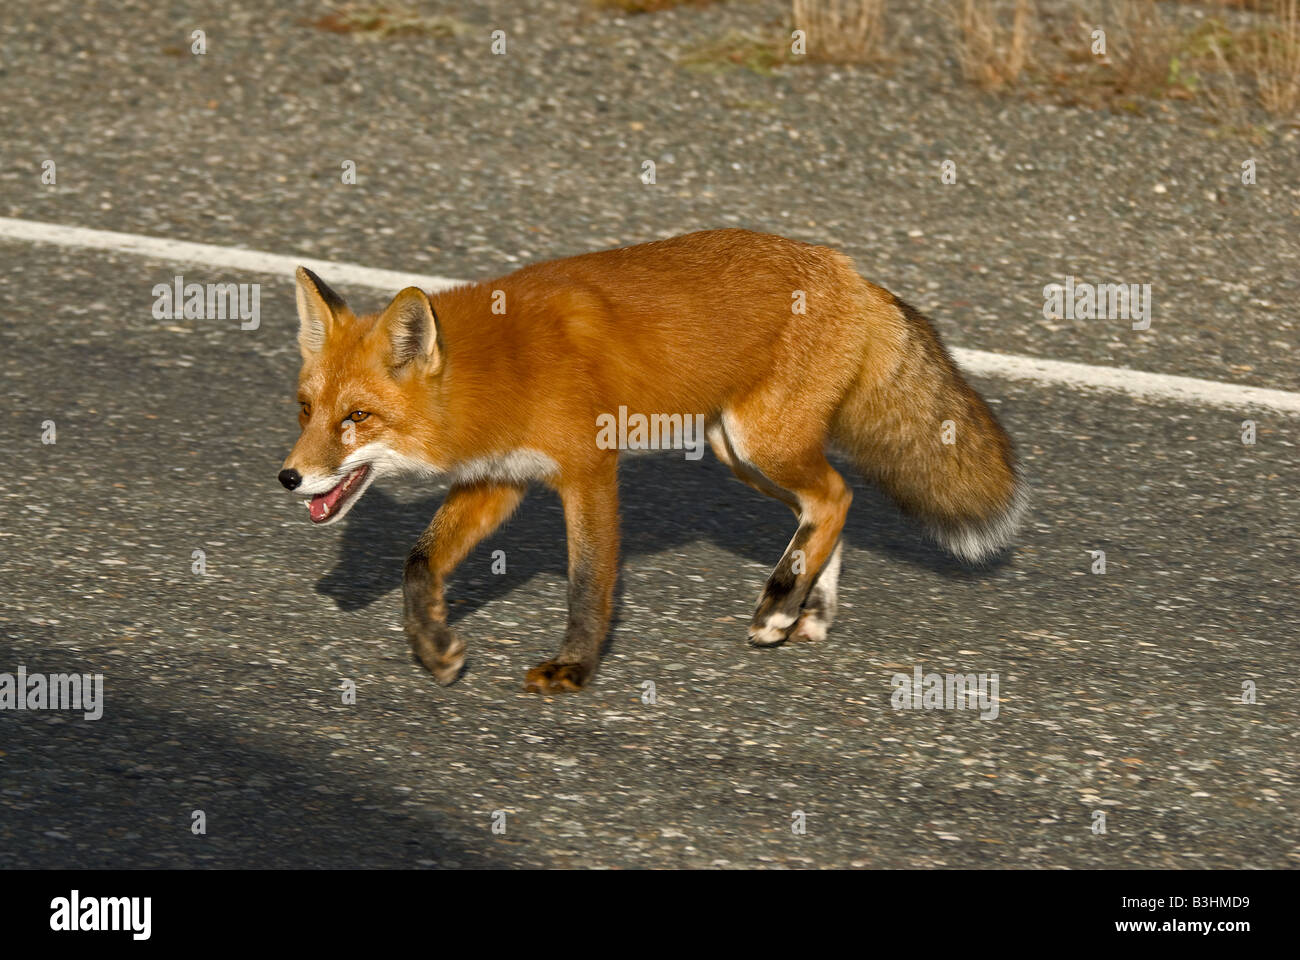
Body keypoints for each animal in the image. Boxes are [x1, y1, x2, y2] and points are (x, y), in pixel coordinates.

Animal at [278, 229, 1025, 694]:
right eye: (306, 410)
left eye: (357, 419)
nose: (288, 477)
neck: (503, 370)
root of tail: (850, 270)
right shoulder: (500, 480)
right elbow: (418, 563)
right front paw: (433, 648)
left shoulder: (588, 472)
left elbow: (588, 585)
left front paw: (573, 670)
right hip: (739, 452)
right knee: (830, 504)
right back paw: (803, 607)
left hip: (762, 442)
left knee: (836, 497)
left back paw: (780, 606)